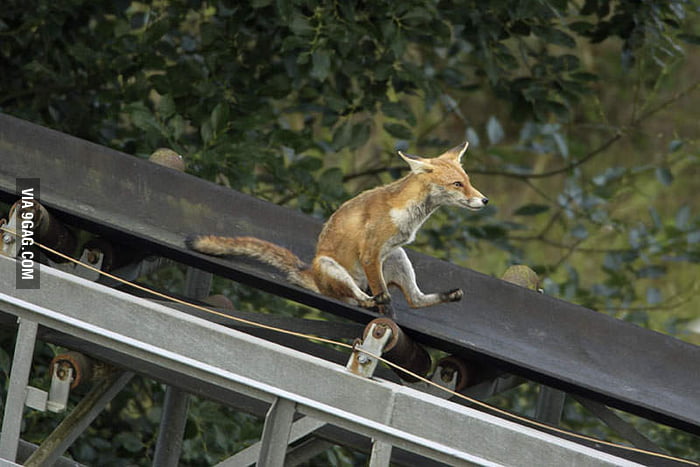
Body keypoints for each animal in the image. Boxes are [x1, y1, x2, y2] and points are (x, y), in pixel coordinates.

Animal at [186, 141, 488, 317]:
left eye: (468, 181)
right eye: (457, 184)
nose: (485, 200)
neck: (408, 214)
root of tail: (311, 274)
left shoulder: (385, 252)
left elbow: (392, 294)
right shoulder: (370, 253)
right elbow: (383, 295)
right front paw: (385, 312)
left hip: (397, 257)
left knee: (415, 299)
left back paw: (447, 295)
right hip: (333, 267)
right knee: (356, 298)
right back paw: (368, 302)